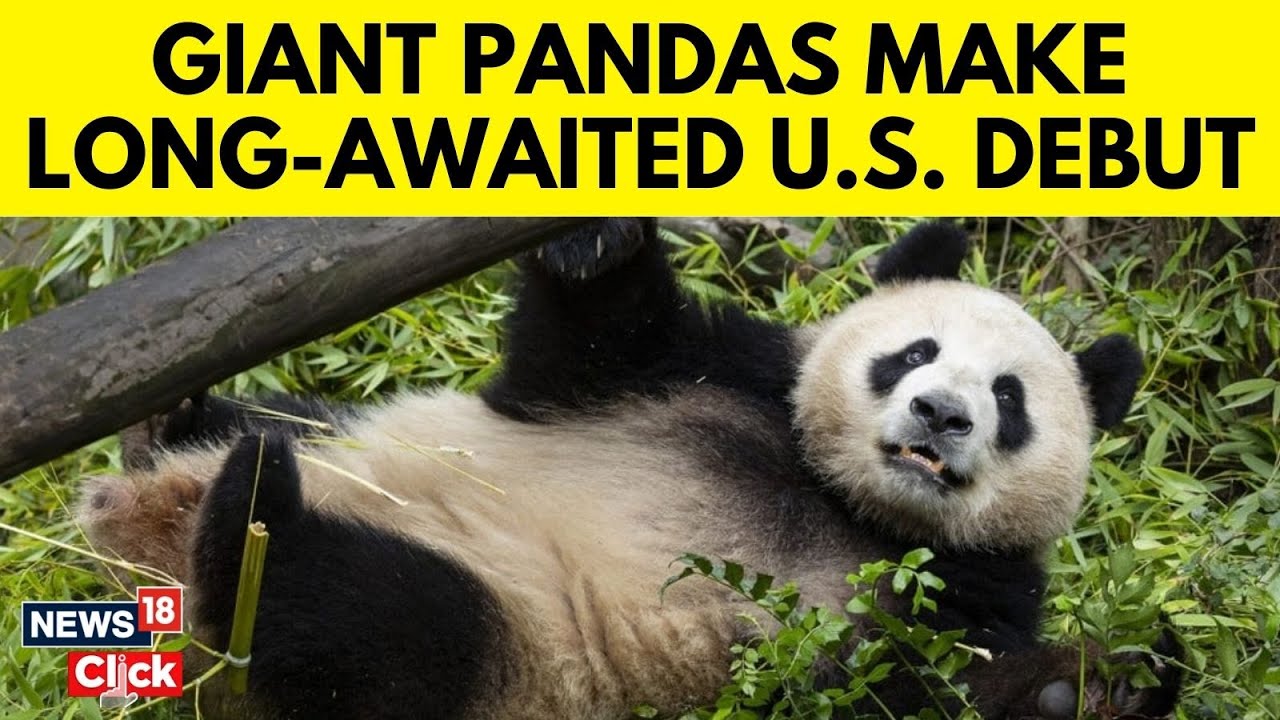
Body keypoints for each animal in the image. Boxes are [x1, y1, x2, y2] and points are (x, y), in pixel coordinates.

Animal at [76, 218, 1181, 720]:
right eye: (913, 352)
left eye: (1009, 399)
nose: (940, 414)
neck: (844, 501)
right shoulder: (716, 375)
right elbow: (584, 349)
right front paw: (593, 240)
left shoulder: (962, 589)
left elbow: (904, 688)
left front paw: (1096, 687)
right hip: (342, 437)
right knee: (286, 434)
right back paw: (172, 433)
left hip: (520, 656)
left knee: (369, 619)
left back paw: (247, 526)